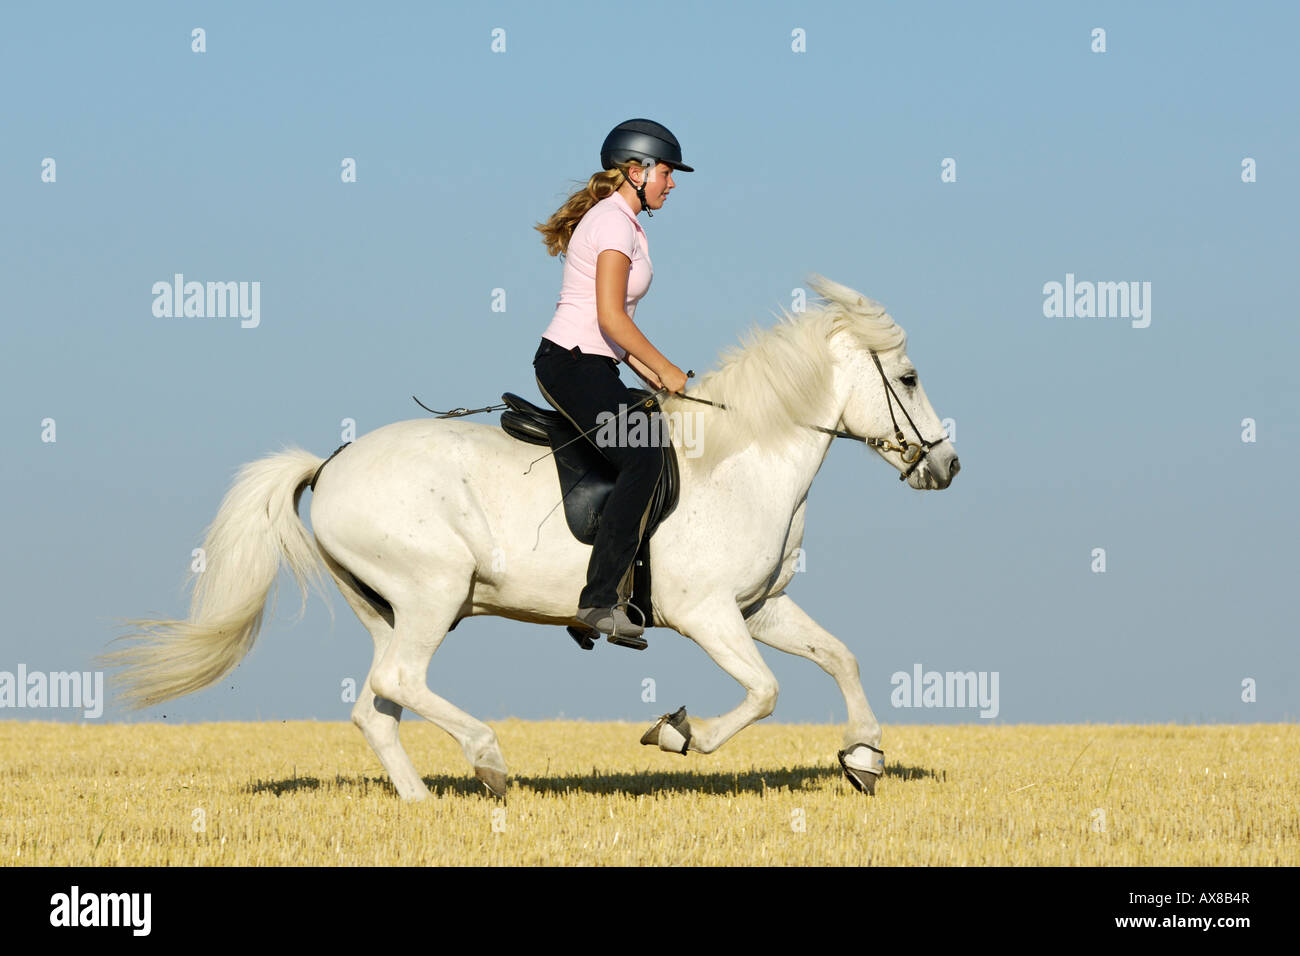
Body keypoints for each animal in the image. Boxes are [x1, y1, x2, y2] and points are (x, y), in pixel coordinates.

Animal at [102, 274, 960, 799]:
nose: (947, 465)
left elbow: (840, 658)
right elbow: (765, 693)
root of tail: (332, 462)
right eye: (910, 379)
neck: (741, 459)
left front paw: (863, 757)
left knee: (377, 704)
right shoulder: (706, 614)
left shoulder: (758, 609)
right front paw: (677, 733)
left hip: (390, 607)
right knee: (402, 683)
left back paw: (420, 802)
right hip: (433, 592)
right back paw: (488, 760)